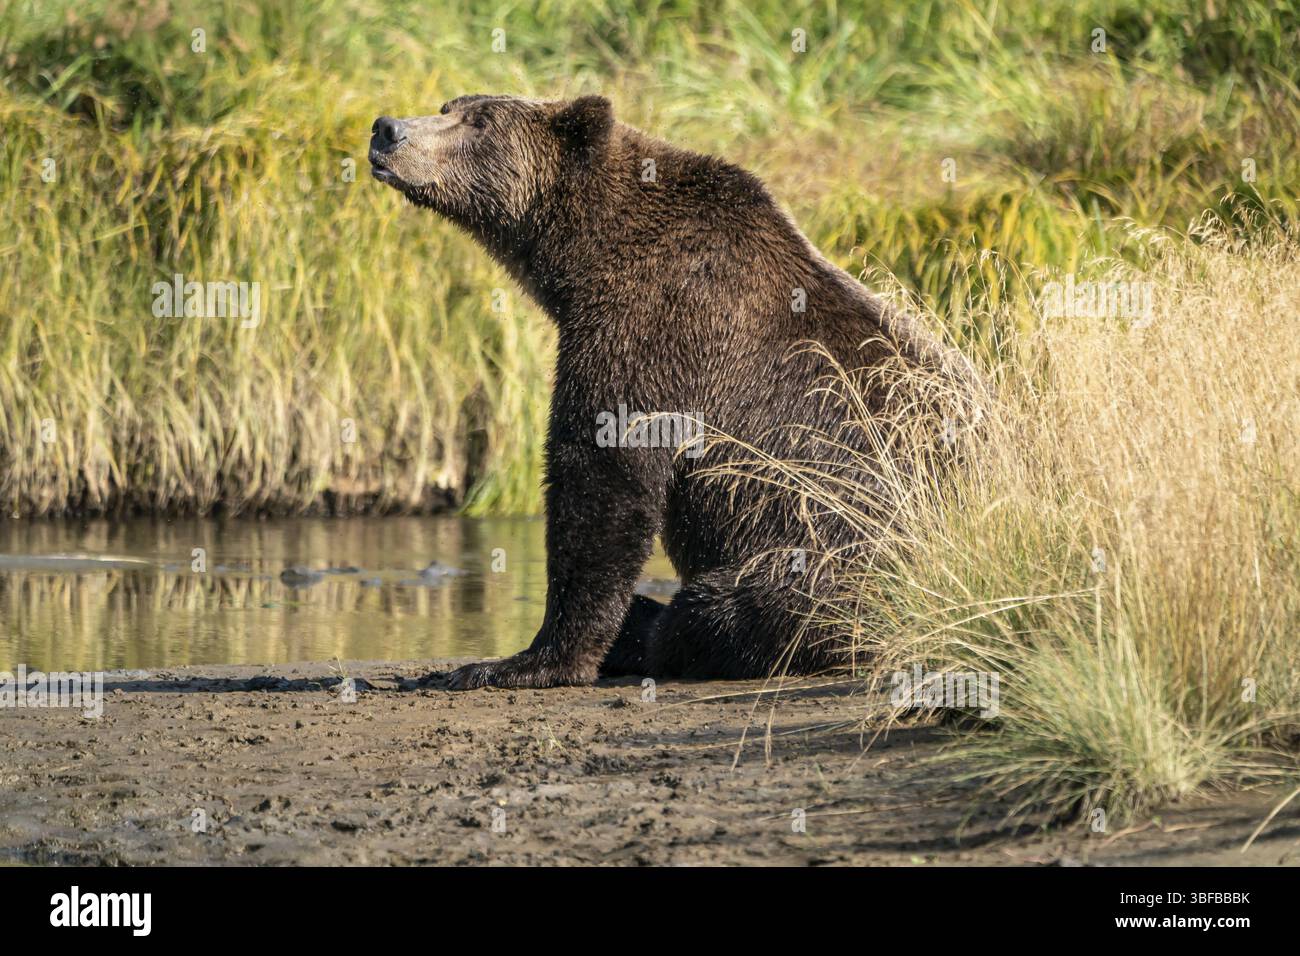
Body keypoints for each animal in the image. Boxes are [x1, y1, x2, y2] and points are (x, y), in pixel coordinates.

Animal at [369, 94, 978, 689]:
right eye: (448, 107)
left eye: (477, 121)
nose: (386, 129)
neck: (582, 258)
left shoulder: (659, 321)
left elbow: (604, 471)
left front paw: (523, 661)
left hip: (847, 544)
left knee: (733, 605)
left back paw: (645, 626)